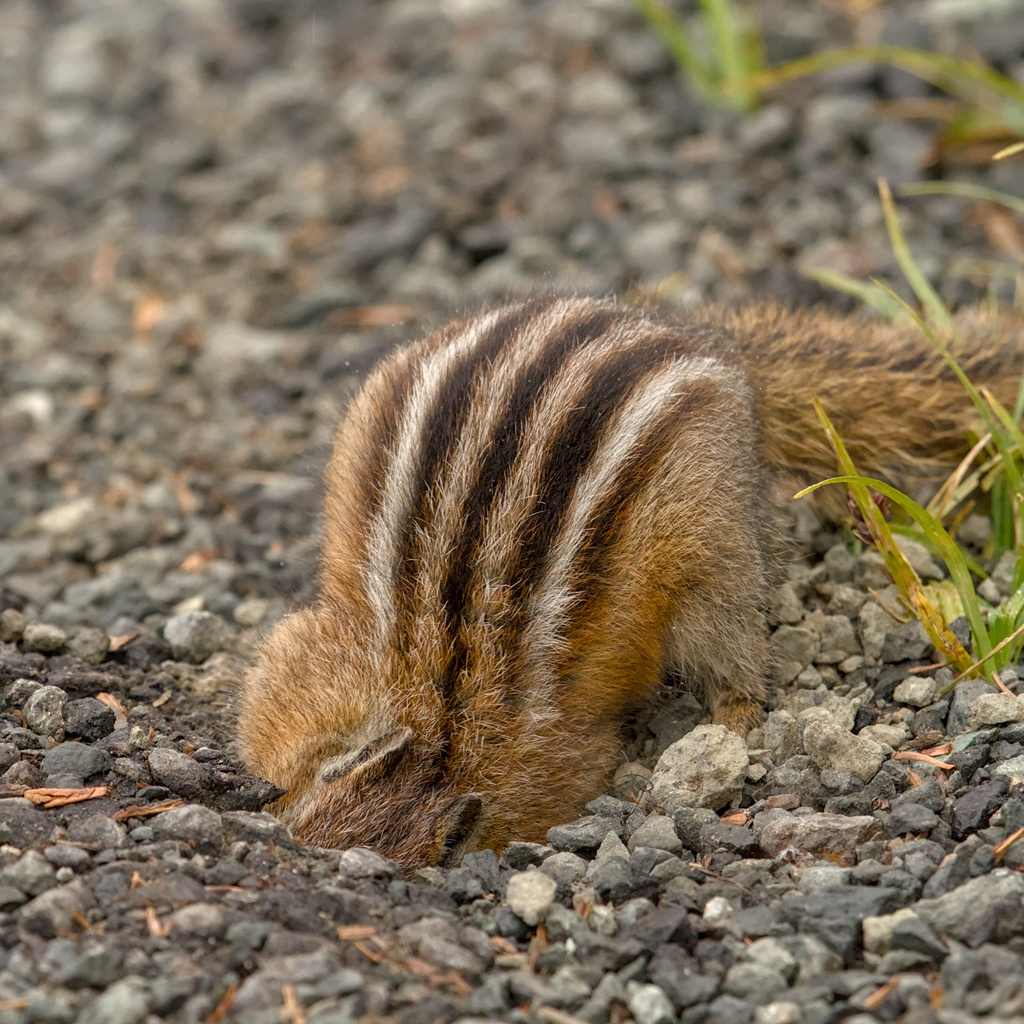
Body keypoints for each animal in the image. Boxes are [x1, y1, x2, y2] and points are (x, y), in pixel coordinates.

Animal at [236, 295, 1022, 868]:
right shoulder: (306, 664)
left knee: (735, 643)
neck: (443, 726)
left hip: (714, 551)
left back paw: (730, 726)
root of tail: (704, 340)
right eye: (303, 820)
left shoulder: (558, 757)